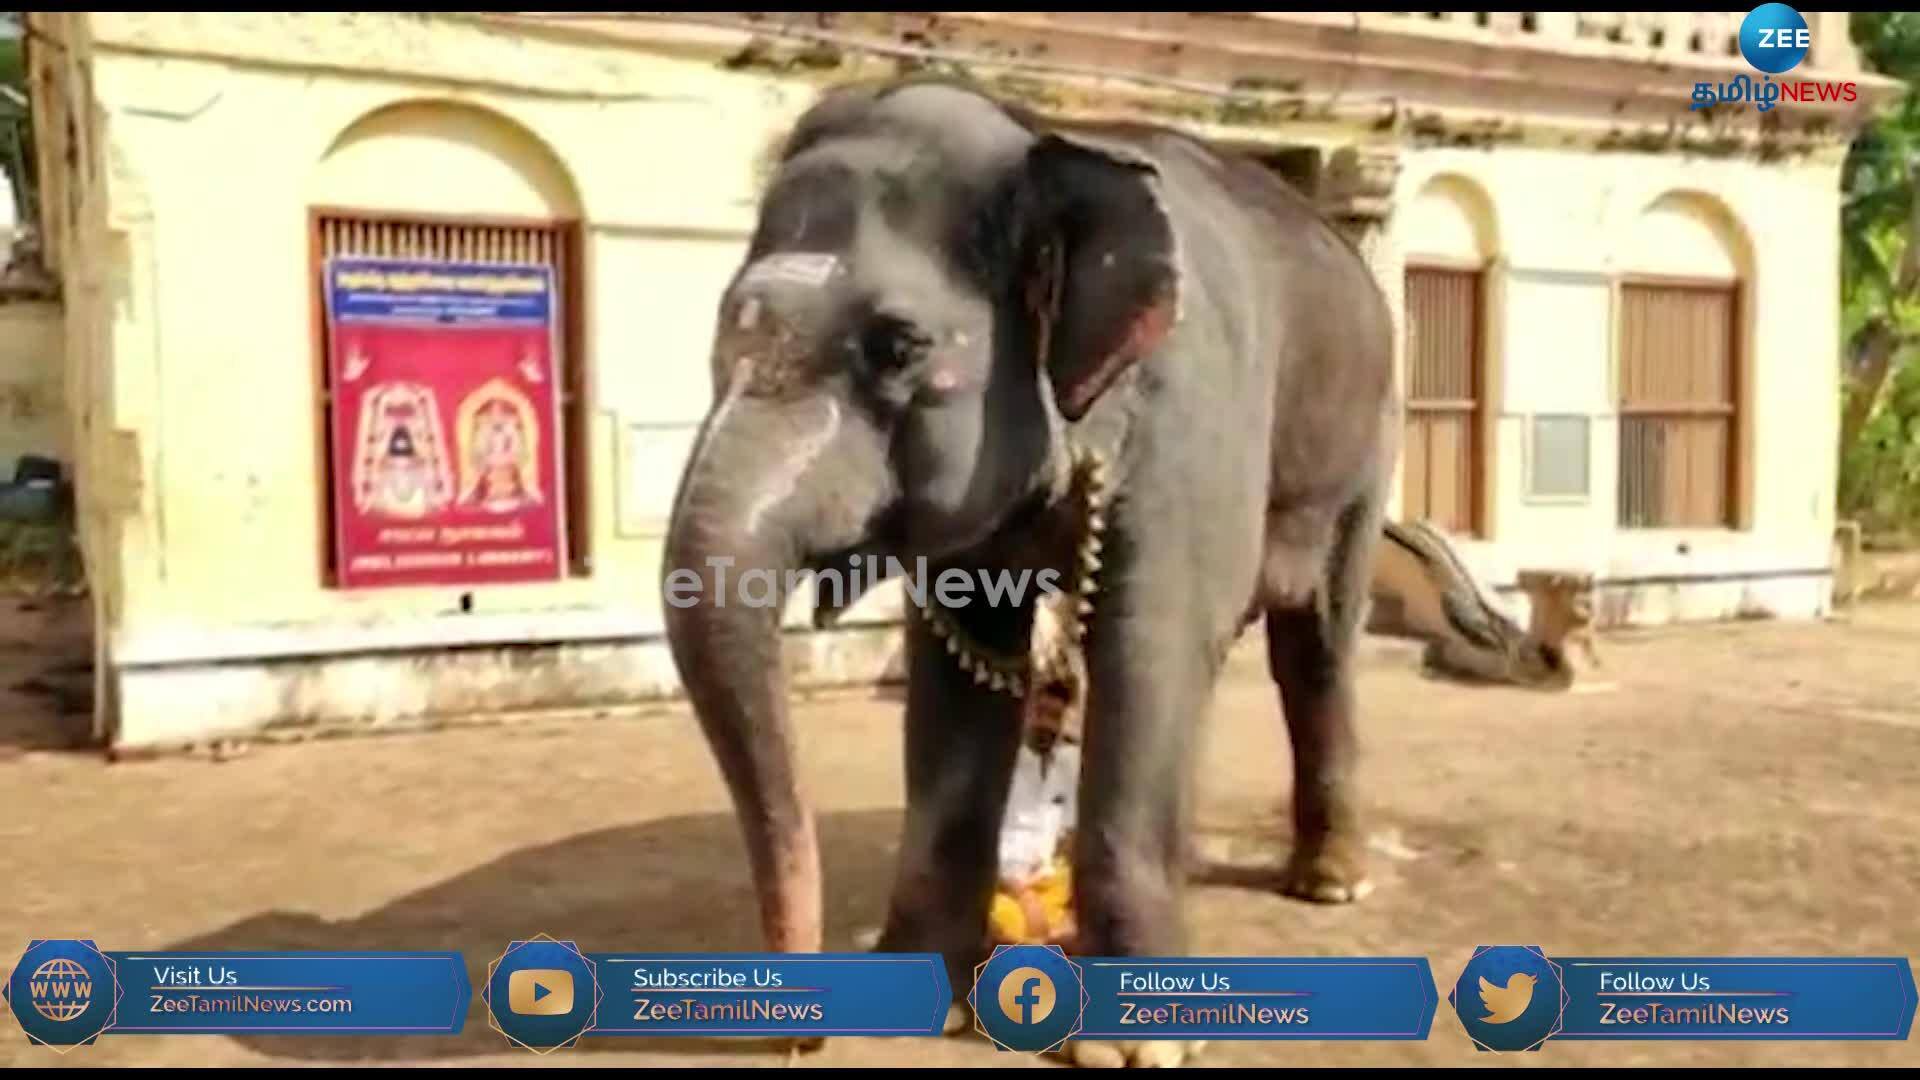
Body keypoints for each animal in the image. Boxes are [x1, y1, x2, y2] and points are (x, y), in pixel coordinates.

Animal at [660, 77, 1397, 1063]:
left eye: (898, 347)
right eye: (721, 334)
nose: (796, 1043)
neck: (1042, 141)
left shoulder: (1191, 416)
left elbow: (1151, 654)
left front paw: (1134, 1048)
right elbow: (956, 678)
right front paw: (913, 1002)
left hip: (1367, 449)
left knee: (1316, 646)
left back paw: (1330, 883)